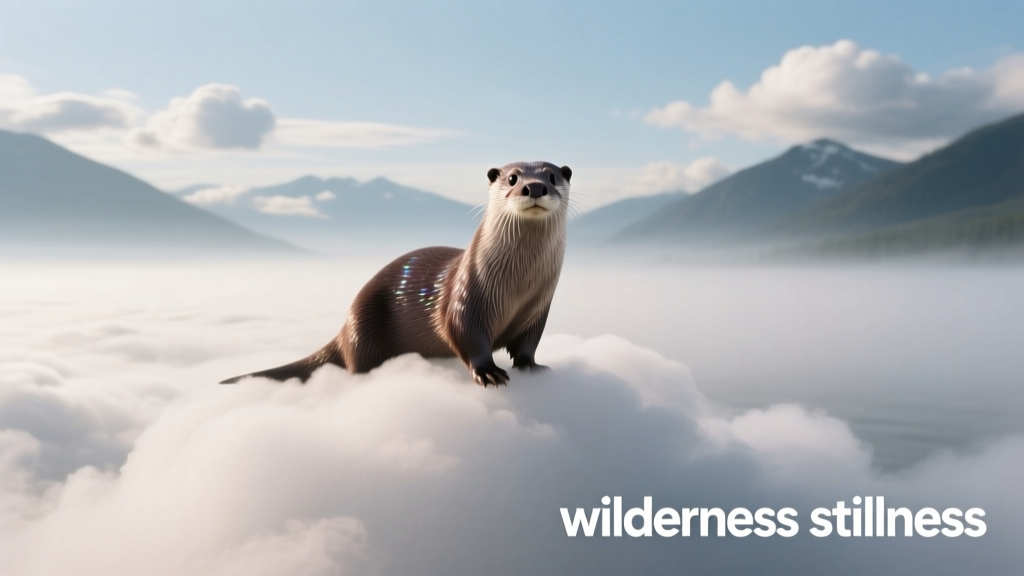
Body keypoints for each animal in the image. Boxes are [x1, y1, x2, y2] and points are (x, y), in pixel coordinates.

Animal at [221, 161, 572, 386]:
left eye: (553, 176)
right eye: (512, 178)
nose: (534, 187)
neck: (518, 287)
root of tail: (344, 329)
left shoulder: (539, 308)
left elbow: (528, 344)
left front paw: (532, 366)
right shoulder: (466, 298)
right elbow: (465, 336)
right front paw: (488, 372)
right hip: (365, 326)